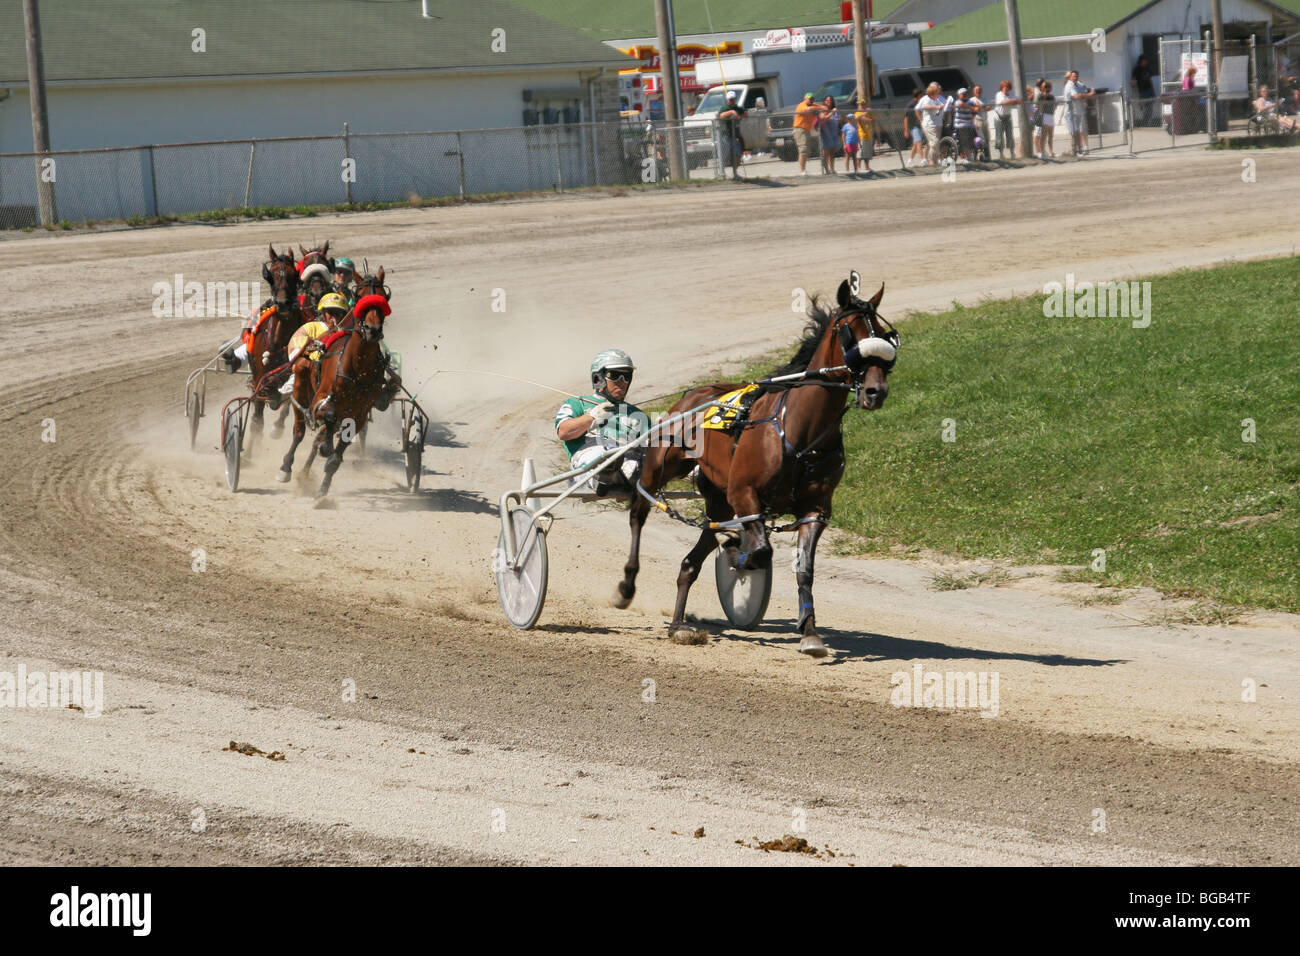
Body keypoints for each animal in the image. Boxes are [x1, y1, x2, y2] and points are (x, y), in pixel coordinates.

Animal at [277, 269, 397, 497]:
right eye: (359, 296)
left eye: (383, 299)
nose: (372, 330)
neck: (358, 366)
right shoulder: (321, 398)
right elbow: (329, 416)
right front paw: (326, 447)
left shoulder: (360, 412)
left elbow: (336, 456)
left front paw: (323, 491)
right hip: (300, 387)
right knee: (298, 430)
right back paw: (286, 467)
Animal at [618, 273, 898, 657]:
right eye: (849, 334)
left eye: (885, 336)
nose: (875, 391)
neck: (798, 430)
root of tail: (693, 395)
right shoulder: (745, 494)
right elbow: (761, 552)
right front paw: (739, 555)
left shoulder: (814, 510)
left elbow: (803, 569)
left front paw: (810, 633)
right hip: (664, 464)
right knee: (638, 511)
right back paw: (628, 584)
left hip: (718, 497)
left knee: (691, 561)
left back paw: (678, 625)